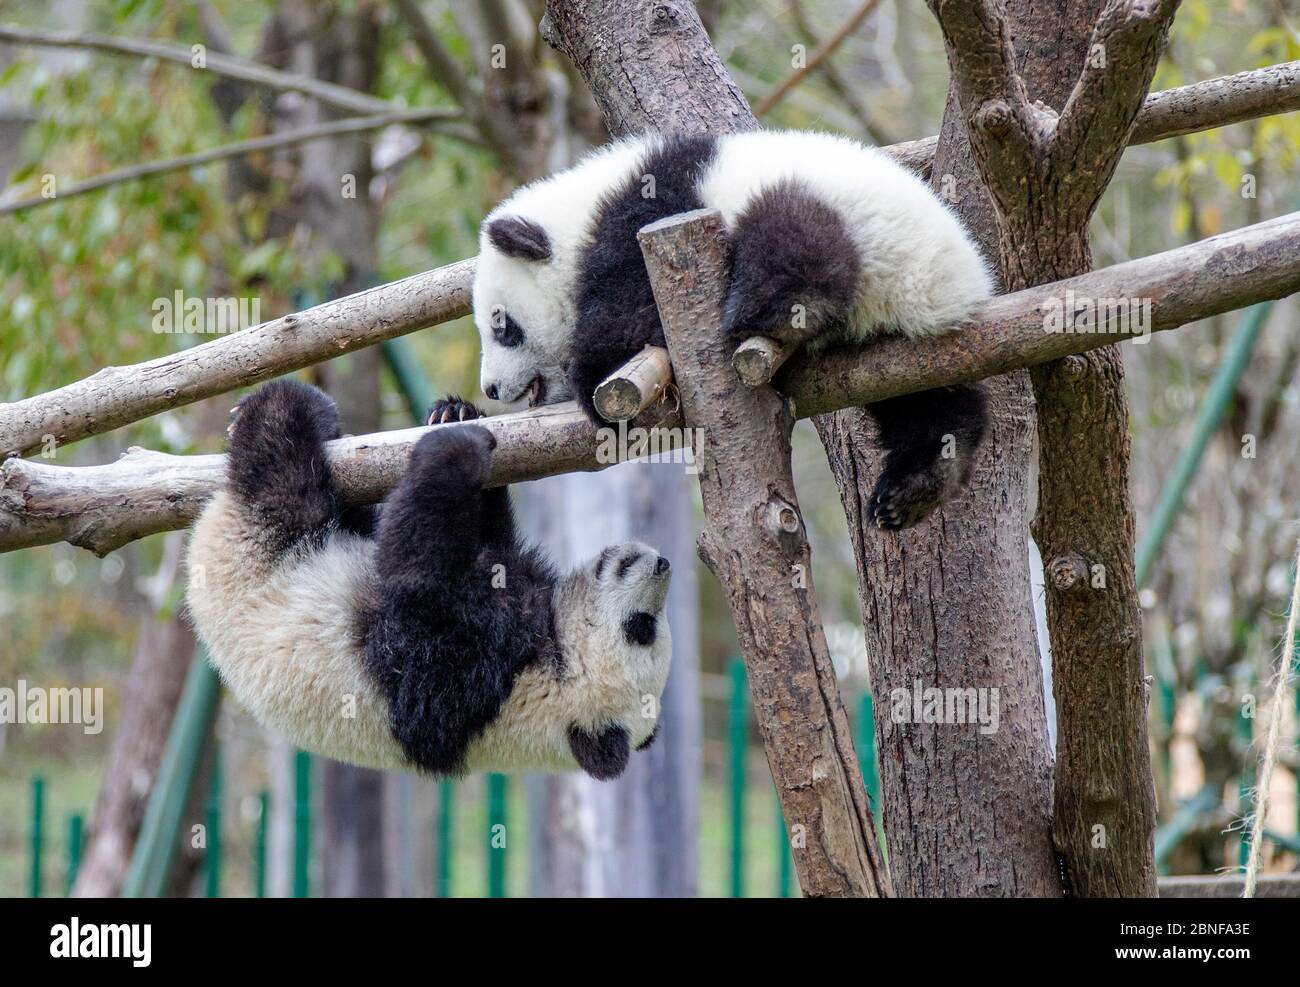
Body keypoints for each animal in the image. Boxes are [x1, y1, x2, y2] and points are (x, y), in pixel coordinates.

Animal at [185, 380, 672, 780]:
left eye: (642, 628)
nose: (662, 564)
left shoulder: (461, 672)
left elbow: (413, 562)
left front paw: (457, 448)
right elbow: (485, 541)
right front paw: (455, 414)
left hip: (260, 545)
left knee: (279, 469)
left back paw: (279, 409)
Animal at [472, 129, 993, 529]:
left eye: (502, 327)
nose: (491, 388)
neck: (581, 216)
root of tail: (960, 277)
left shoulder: (643, 217)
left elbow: (628, 317)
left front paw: (595, 372)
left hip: (855, 220)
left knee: (792, 234)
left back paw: (774, 309)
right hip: (906, 346)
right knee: (931, 406)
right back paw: (919, 486)